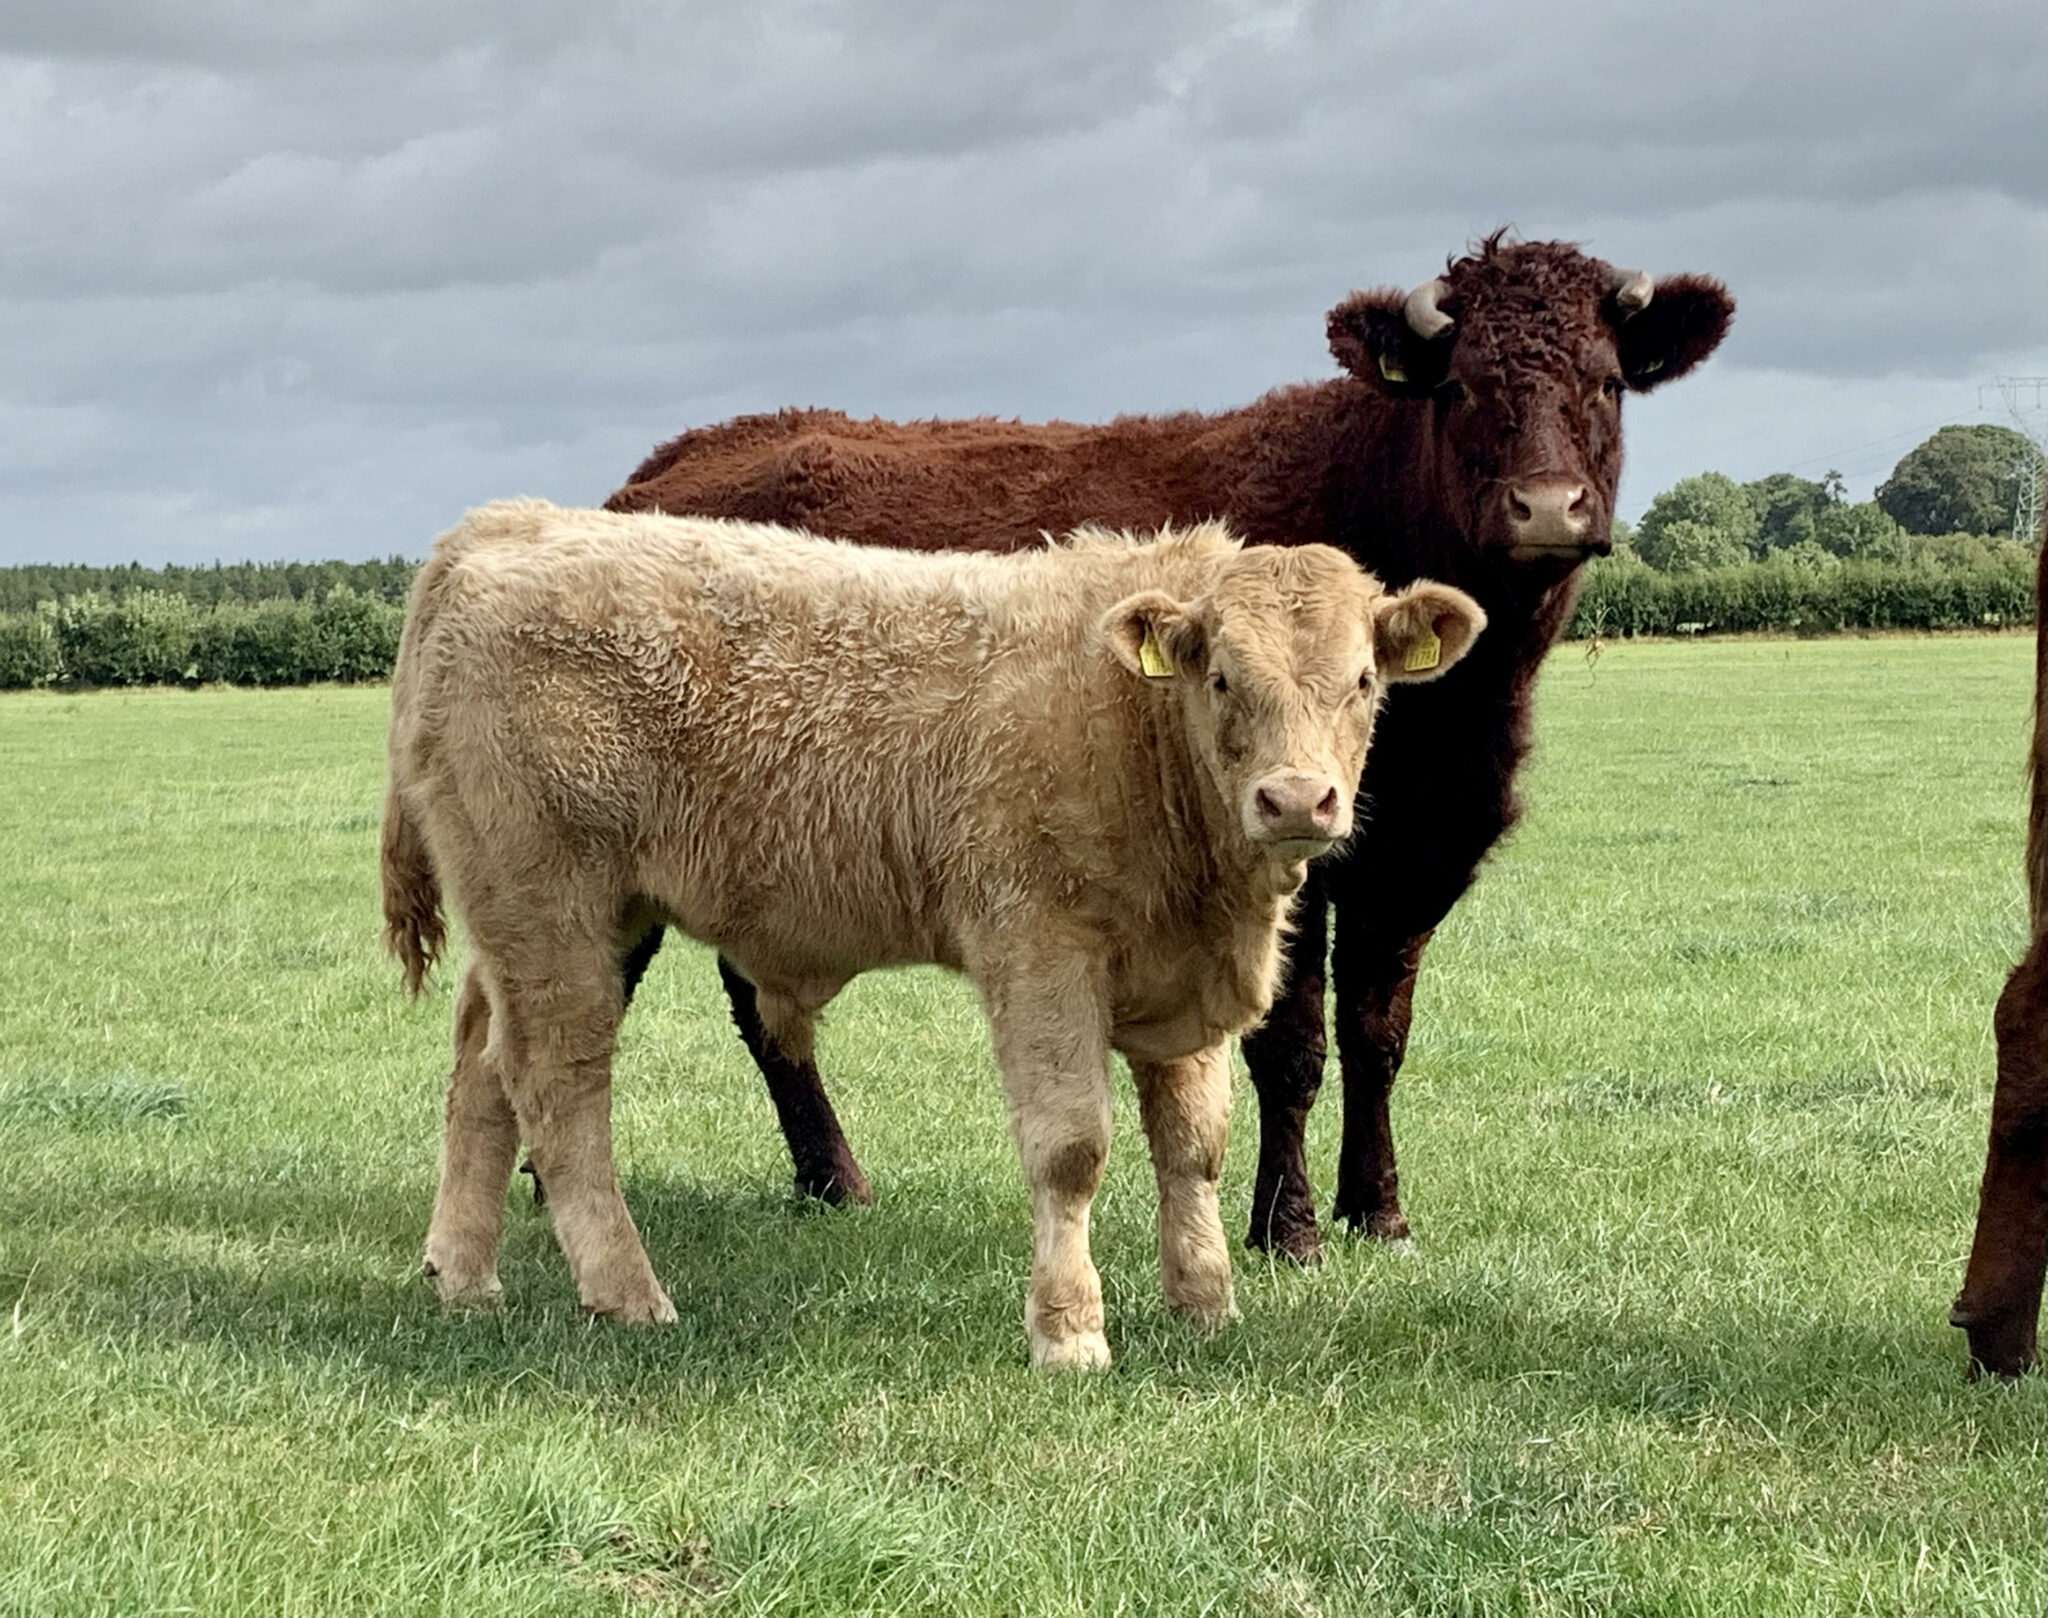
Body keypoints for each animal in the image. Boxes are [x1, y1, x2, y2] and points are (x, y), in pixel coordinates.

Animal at [380, 500, 1485, 1367]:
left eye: (1362, 681)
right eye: (1220, 678)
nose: (1296, 799)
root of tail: (504, 527)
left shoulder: (1181, 976)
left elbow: (1192, 1146)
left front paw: (1205, 1303)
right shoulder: (1039, 948)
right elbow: (1071, 1149)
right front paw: (1069, 1331)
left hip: (534, 923)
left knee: (481, 1065)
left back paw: (463, 1274)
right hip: (553, 907)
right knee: (558, 1085)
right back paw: (626, 1292)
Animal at [603, 234, 1735, 1259]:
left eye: (1606, 382)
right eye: (1459, 387)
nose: (1546, 507)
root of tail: (663, 465)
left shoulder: (1416, 851)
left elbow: (1378, 1037)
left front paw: (1378, 1212)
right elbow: (1291, 1044)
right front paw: (1286, 1230)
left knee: (755, 1004)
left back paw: (829, 1178)